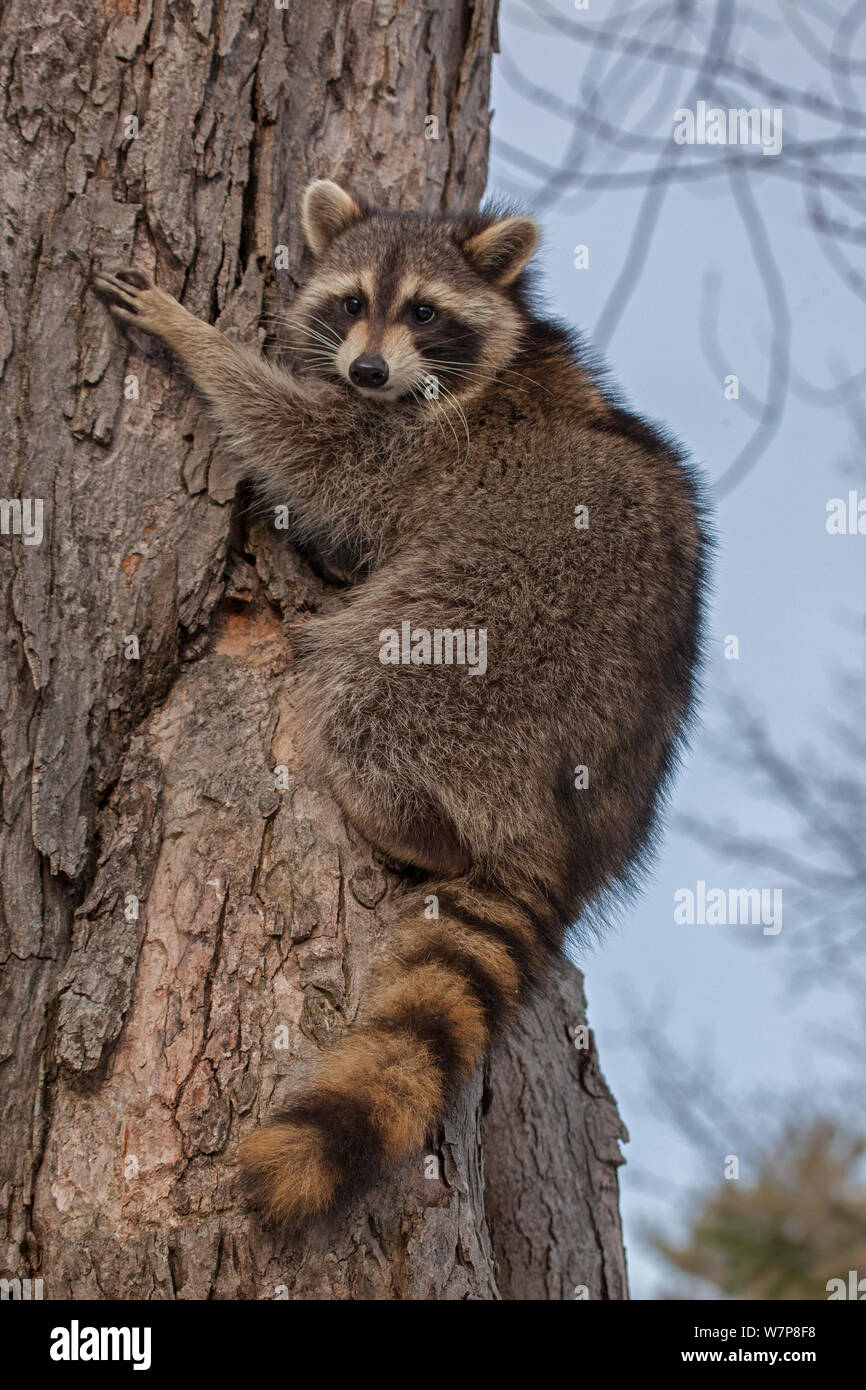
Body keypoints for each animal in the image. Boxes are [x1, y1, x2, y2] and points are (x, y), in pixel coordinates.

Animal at [92, 180, 707, 1226]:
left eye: (423, 310)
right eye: (351, 302)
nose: (369, 369)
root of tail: (576, 832)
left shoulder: (418, 449)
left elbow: (305, 448)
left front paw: (196, 339)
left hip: (498, 647)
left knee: (372, 692)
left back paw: (403, 818)